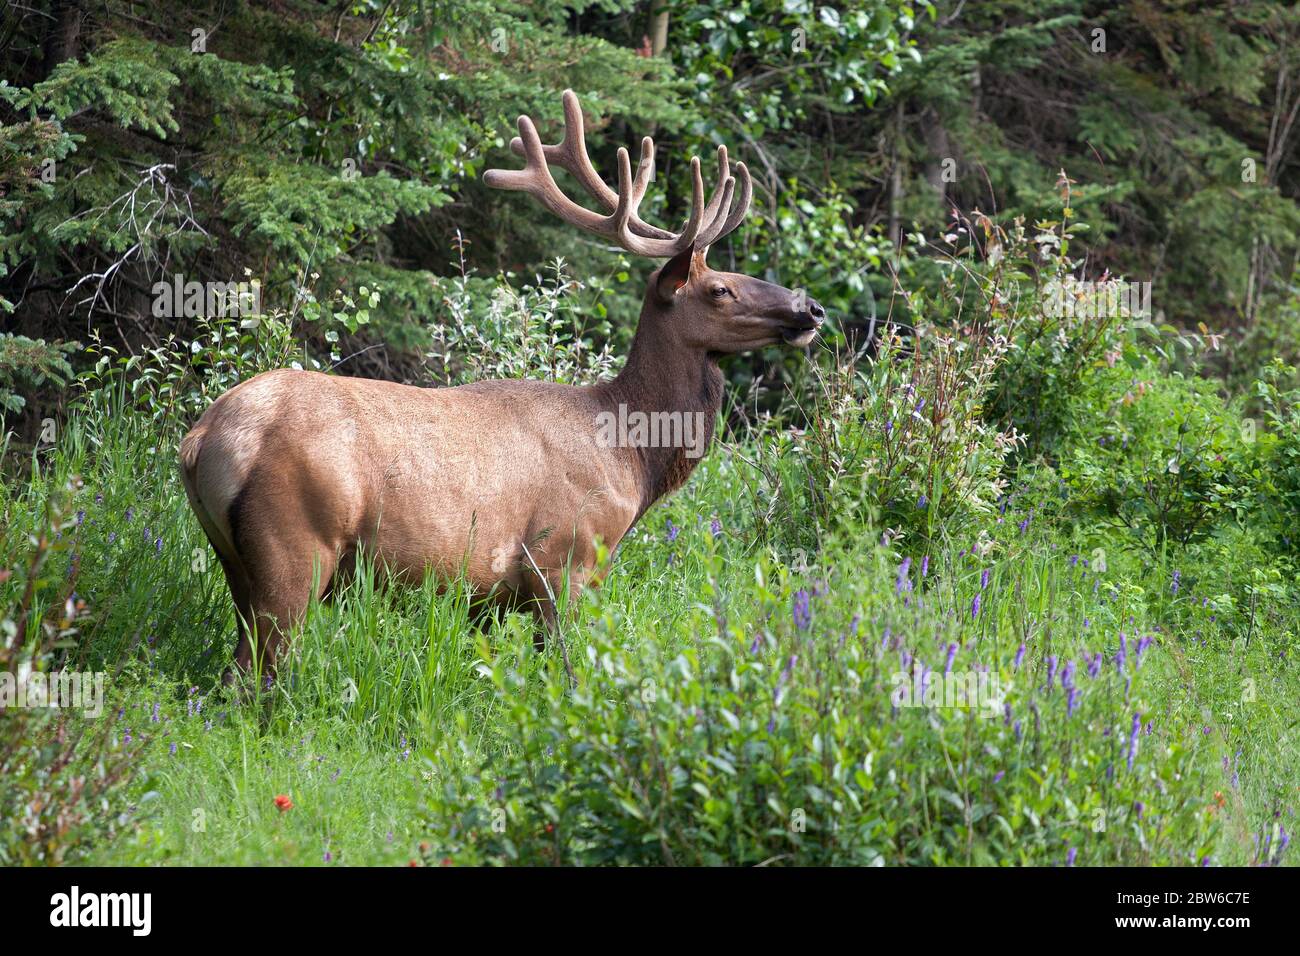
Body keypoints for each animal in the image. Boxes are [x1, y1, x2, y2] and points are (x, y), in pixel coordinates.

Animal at [179, 90, 824, 684]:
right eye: (719, 289)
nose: (811, 308)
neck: (631, 455)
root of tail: (203, 440)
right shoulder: (564, 558)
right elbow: (564, 671)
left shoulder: (488, 595)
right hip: (296, 545)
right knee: (254, 673)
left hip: (233, 560)